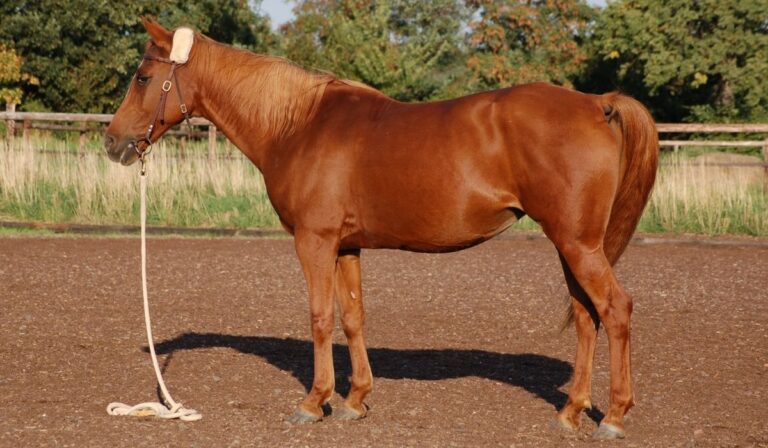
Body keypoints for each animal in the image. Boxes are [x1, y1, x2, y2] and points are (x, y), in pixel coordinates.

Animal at [105, 18, 658, 440]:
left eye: (141, 77)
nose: (113, 142)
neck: (297, 125)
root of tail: (596, 103)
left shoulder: (315, 241)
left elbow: (320, 318)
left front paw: (314, 401)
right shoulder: (347, 247)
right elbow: (353, 317)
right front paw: (356, 400)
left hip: (578, 244)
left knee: (616, 310)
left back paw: (612, 415)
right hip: (572, 244)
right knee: (586, 317)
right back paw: (570, 412)